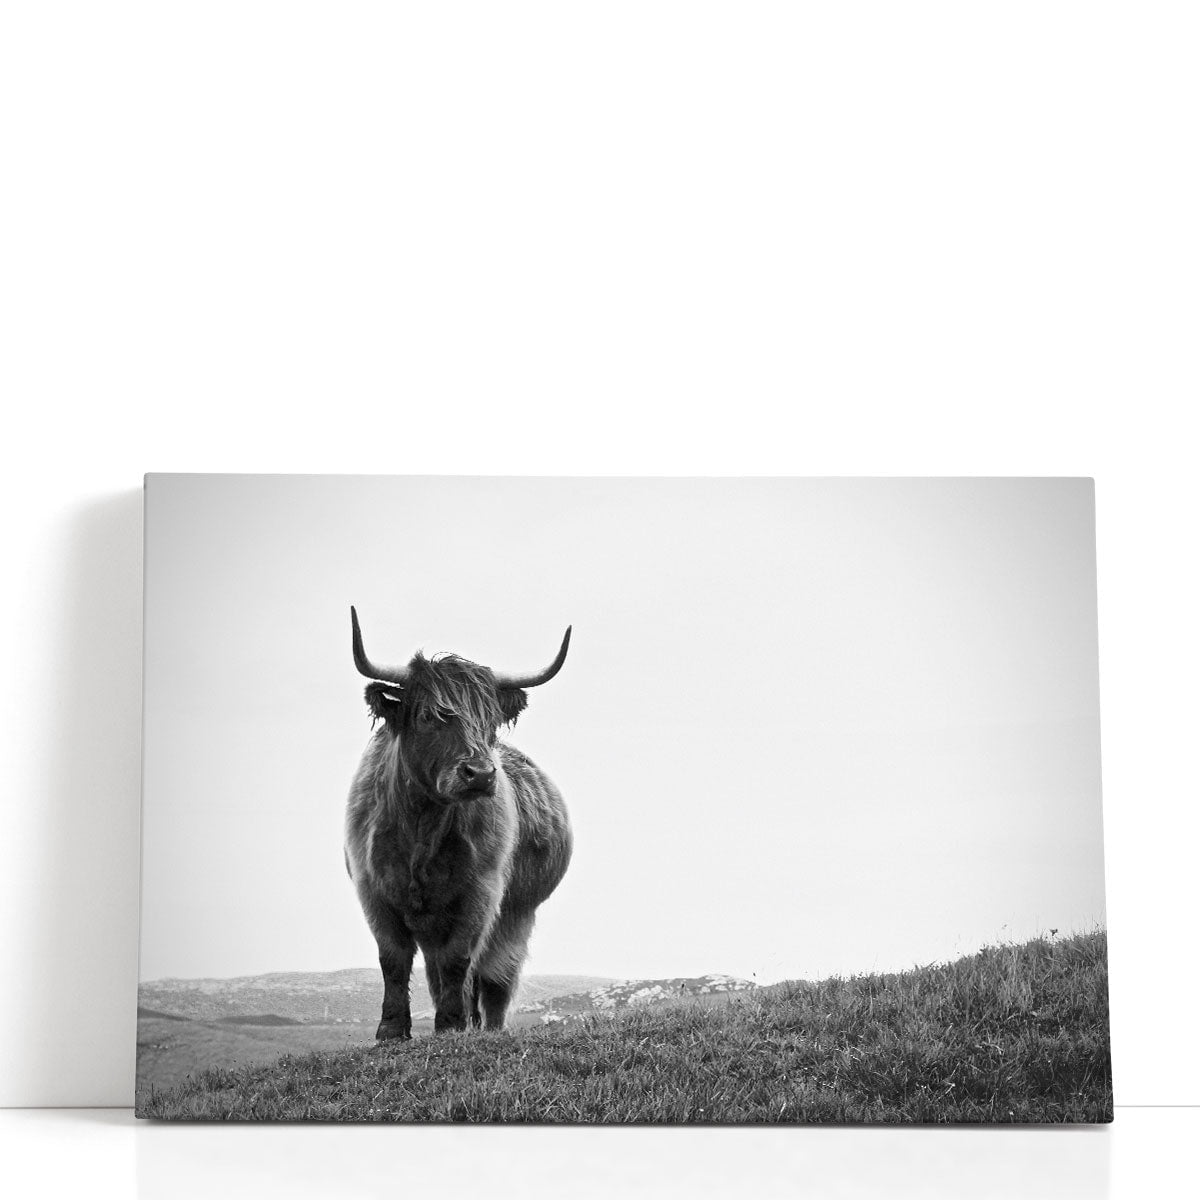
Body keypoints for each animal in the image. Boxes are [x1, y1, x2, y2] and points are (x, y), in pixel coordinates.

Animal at [344, 607, 573, 1039]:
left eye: (490, 722)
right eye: (428, 716)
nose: (480, 774)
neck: (421, 827)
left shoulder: (480, 893)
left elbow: (458, 960)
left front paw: (451, 1026)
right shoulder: (373, 891)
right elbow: (393, 960)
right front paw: (391, 1031)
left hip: (517, 915)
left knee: (495, 978)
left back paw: (486, 1027)